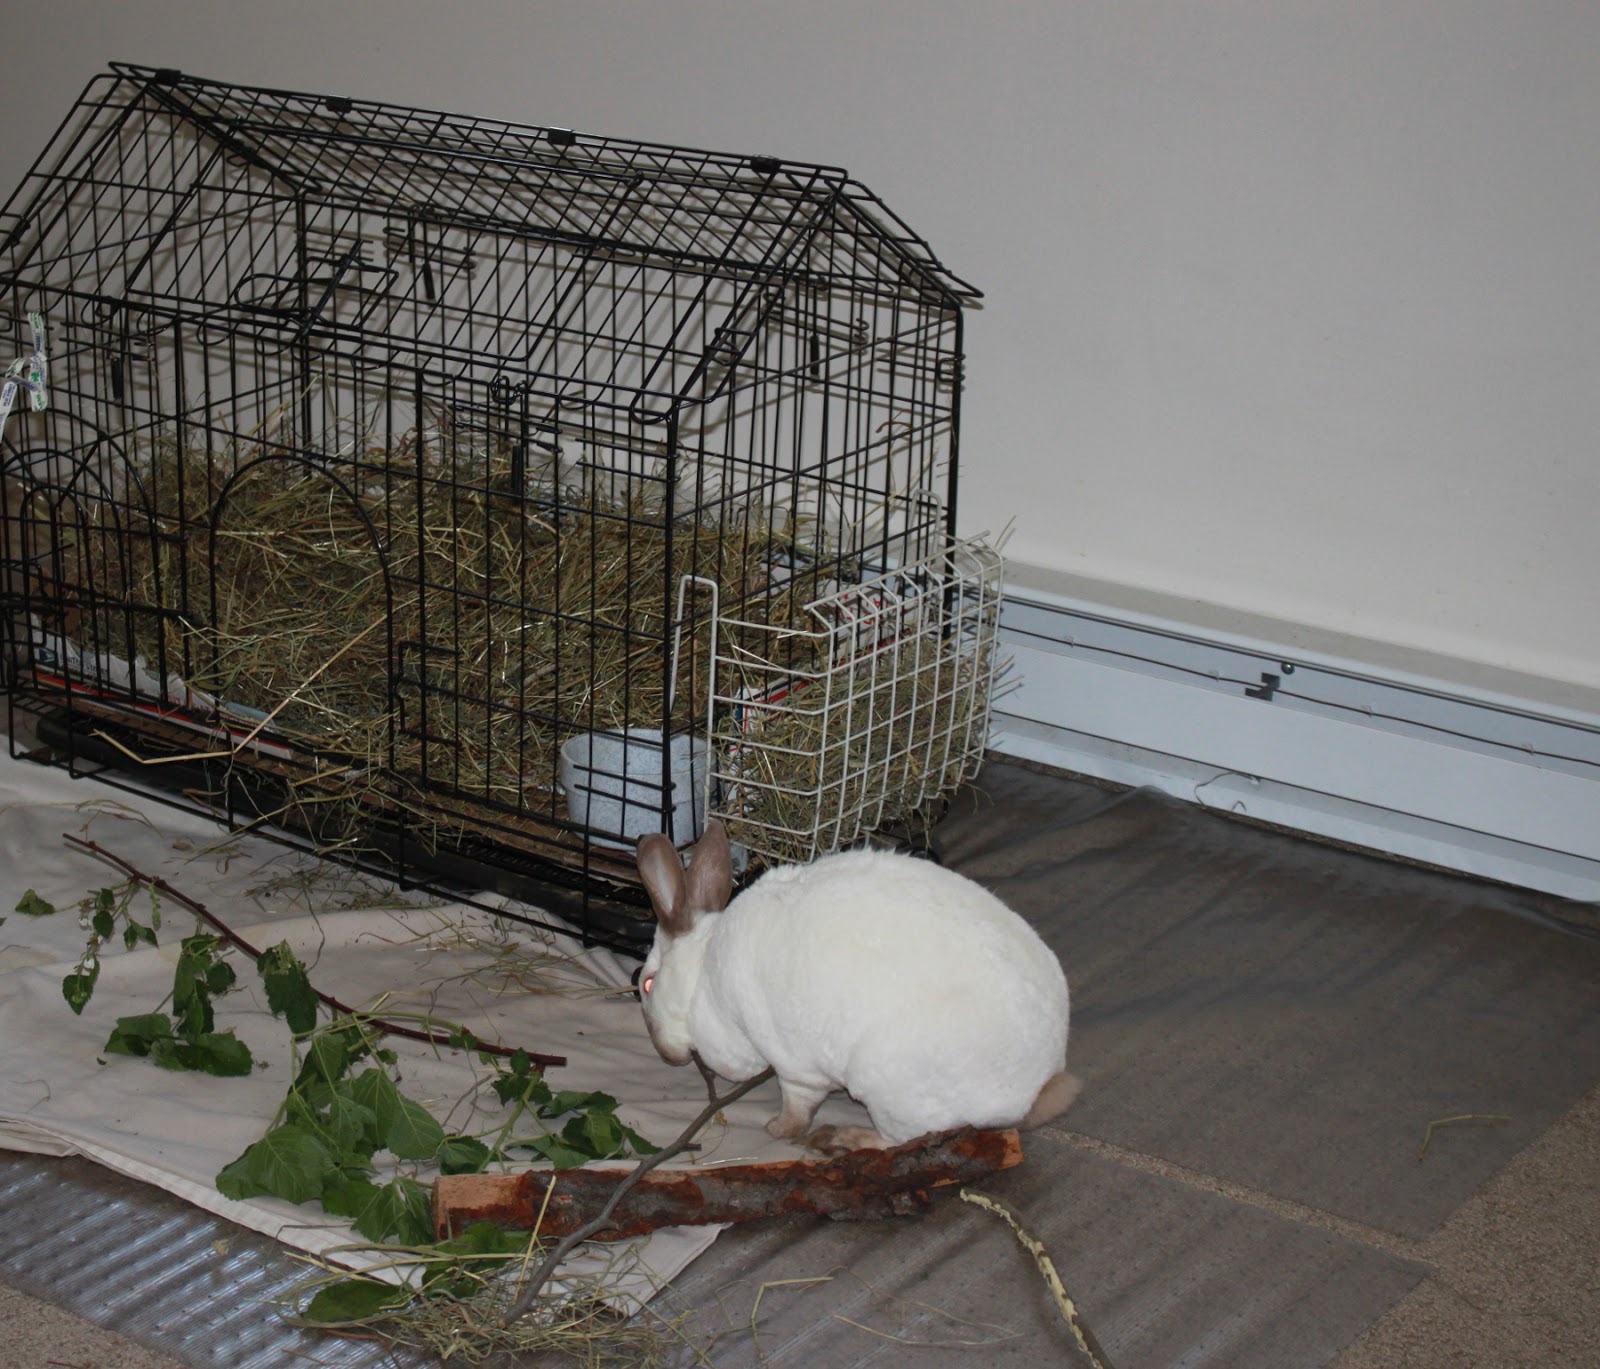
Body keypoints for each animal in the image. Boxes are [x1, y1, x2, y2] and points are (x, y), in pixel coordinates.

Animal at [635, 821, 1078, 1153]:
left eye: (647, 984)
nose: (662, 1053)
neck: (702, 973)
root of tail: (1039, 1086)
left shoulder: (794, 1067)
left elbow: (797, 1106)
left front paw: (776, 1128)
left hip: (890, 1091)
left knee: (901, 1141)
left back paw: (844, 1137)